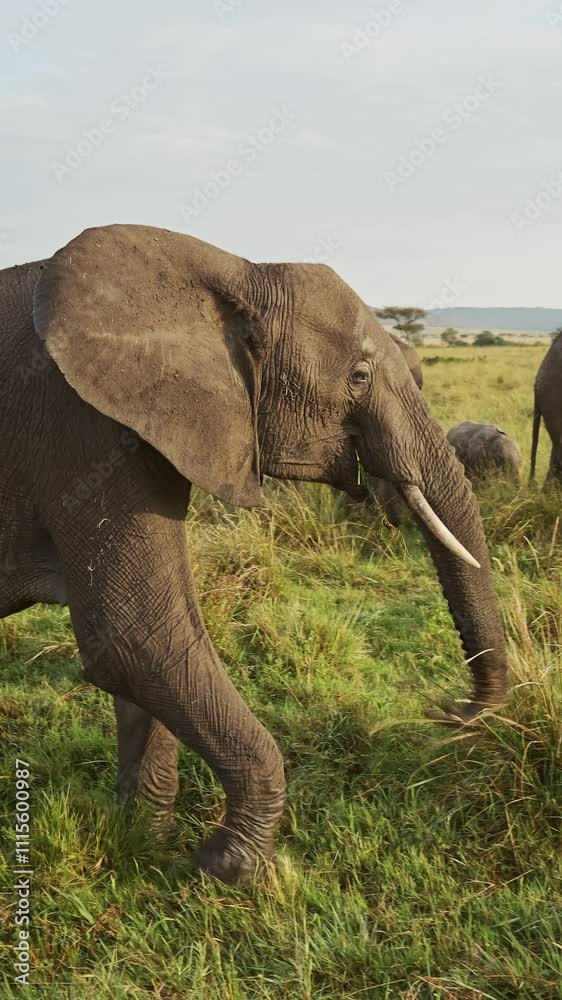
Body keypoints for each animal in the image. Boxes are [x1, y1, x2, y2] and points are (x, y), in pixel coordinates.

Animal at [0, 224, 508, 883]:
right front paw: (229, 865)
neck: (234, 271)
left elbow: (148, 646)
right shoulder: (79, 427)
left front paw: (143, 836)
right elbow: (138, 636)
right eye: (358, 377)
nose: (451, 711)